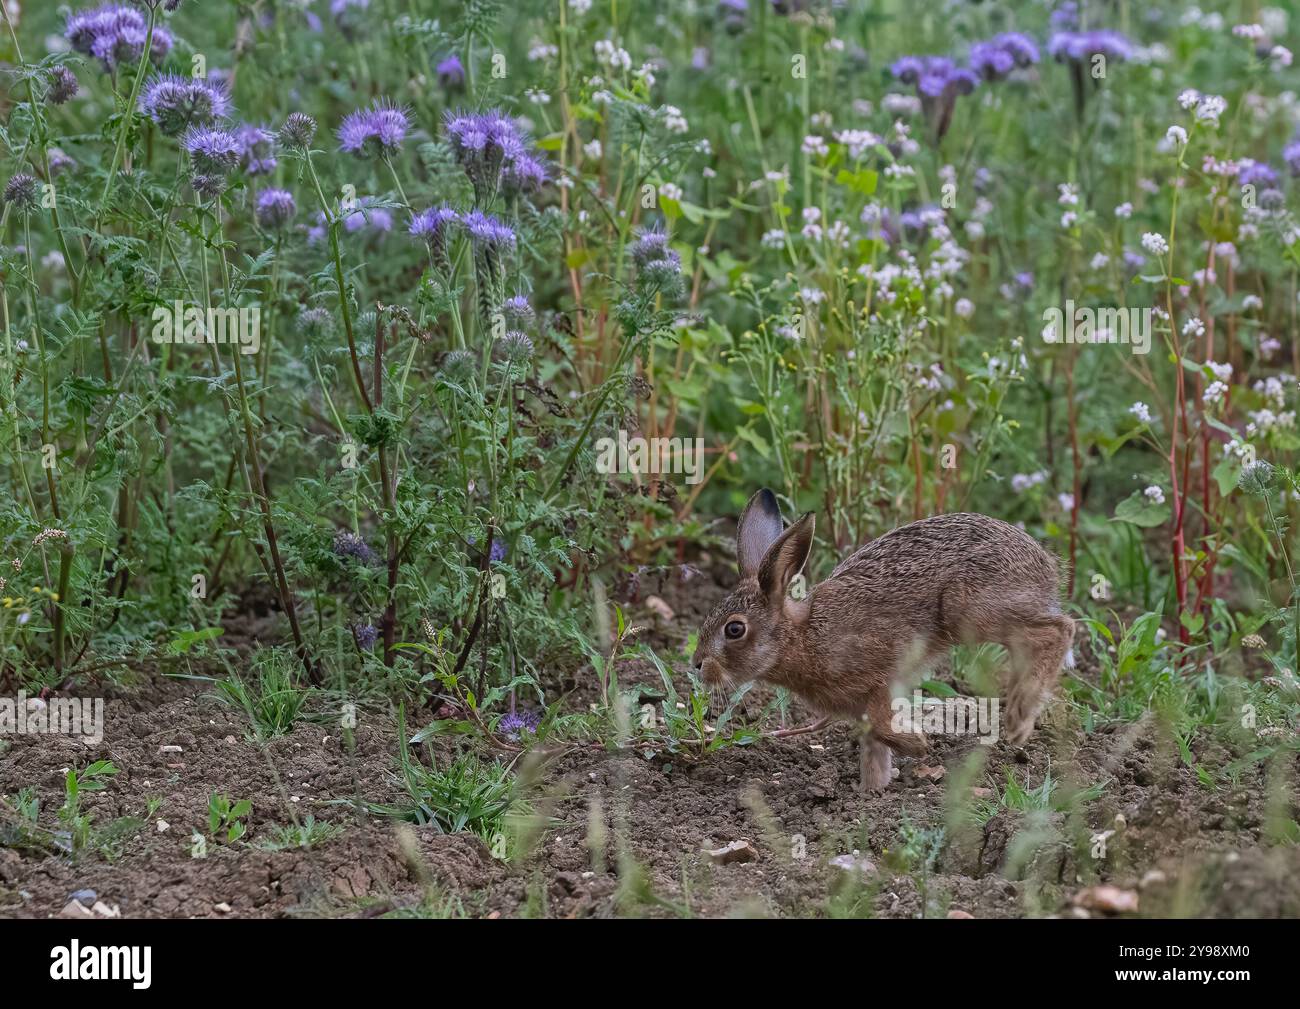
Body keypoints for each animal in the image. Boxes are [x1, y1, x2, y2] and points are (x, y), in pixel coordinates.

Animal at [692, 489, 1074, 791]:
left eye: (734, 629)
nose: (697, 665)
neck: (800, 635)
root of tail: (1044, 564)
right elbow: (873, 744)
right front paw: (871, 792)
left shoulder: (881, 676)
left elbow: (880, 725)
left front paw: (917, 744)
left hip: (967, 610)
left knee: (1060, 629)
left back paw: (1019, 718)